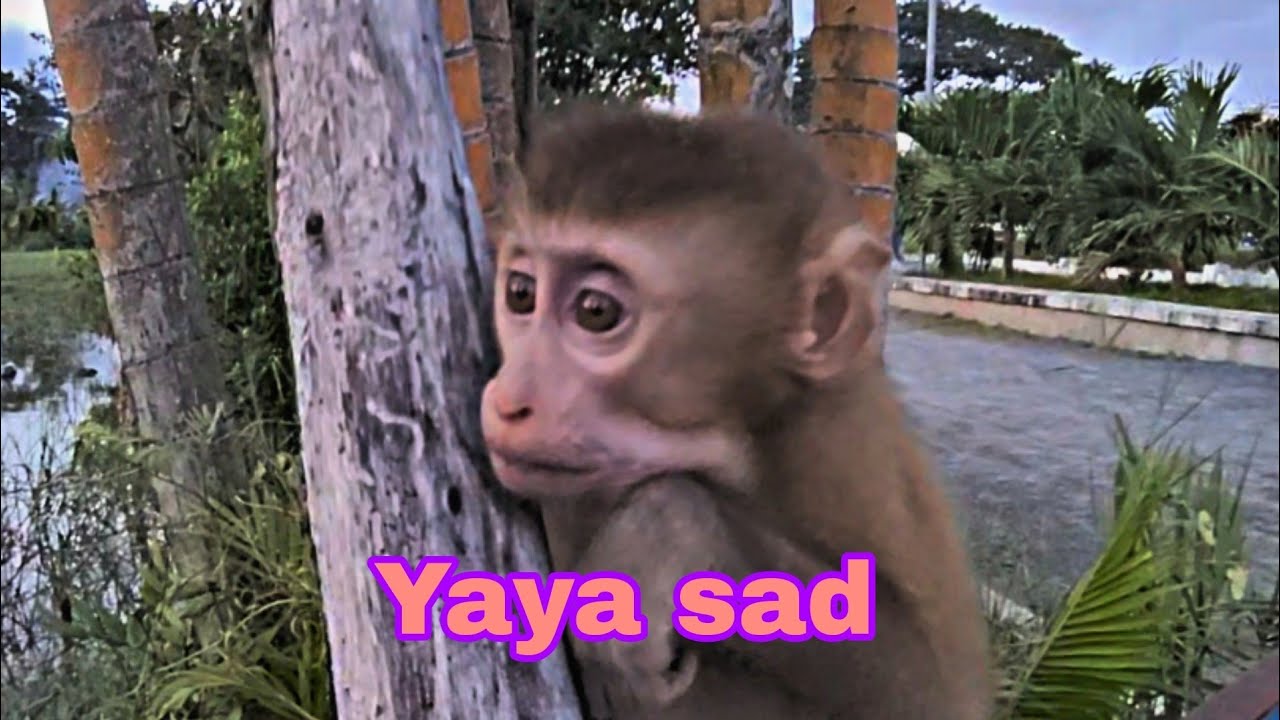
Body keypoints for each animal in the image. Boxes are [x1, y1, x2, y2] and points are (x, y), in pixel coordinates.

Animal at [479, 104, 993, 719]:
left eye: (595, 310)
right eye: (520, 294)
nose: (508, 400)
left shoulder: (839, 448)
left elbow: (935, 691)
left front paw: (667, 534)